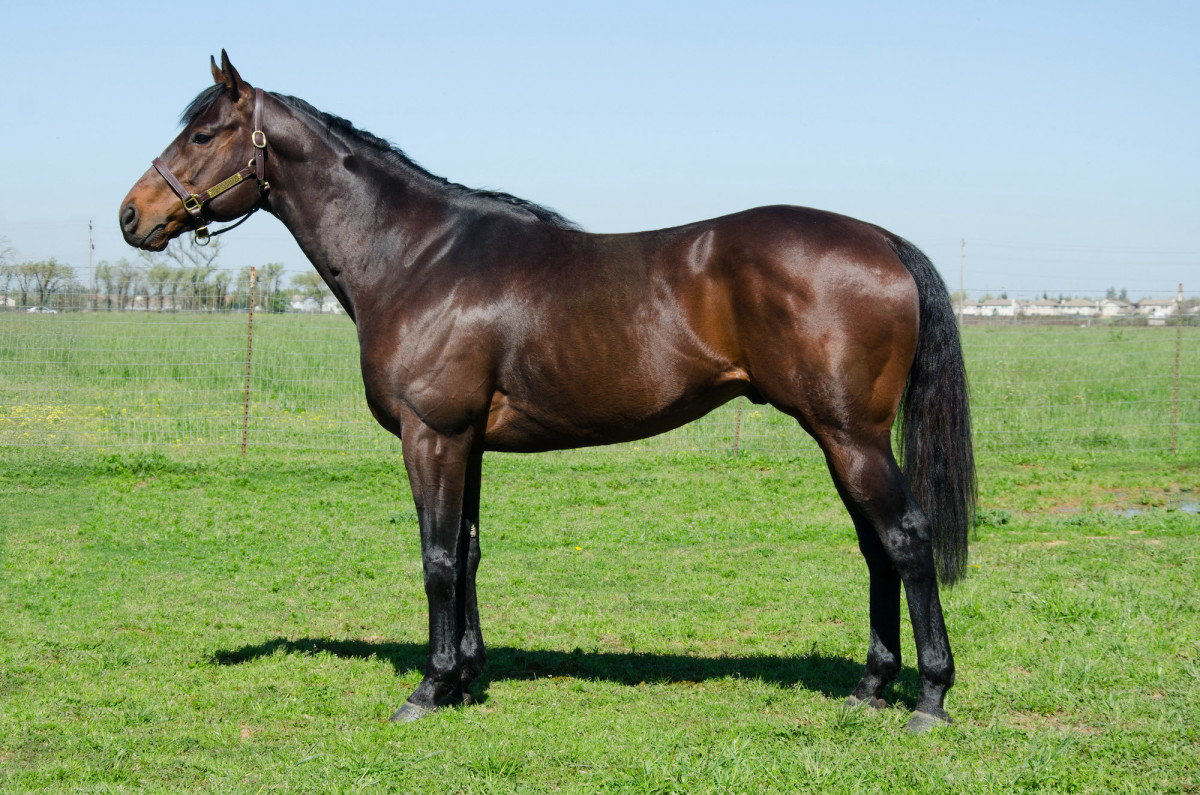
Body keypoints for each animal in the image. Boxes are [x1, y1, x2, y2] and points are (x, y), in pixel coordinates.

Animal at [120, 52, 975, 732]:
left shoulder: (432, 433)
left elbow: (435, 556)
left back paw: (930, 698)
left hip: (850, 435)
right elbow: (467, 551)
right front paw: (466, 677)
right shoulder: (466, 440)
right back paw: (869, 687)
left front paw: (427, 689)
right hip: (839, 438)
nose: (132, 215)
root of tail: (882, 239)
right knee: (874, 546)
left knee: (905, 539)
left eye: (203, 135)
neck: (419, 257)